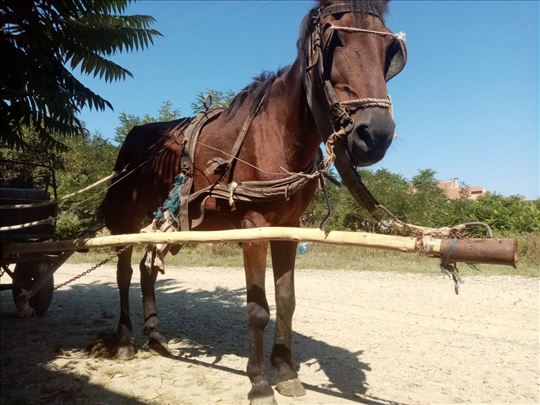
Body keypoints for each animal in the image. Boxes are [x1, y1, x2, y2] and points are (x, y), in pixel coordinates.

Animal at [99, 1, 408, 402]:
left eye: (389, 50)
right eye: (334, 43)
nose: (376, 135)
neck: (275, 132)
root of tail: (135, 136)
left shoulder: (288, 227)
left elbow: (287, 300)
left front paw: (286, 371)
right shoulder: (254, 227)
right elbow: (258, 308)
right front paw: (260, 382)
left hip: (169, 223)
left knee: (147, 269)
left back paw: (155, 336)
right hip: (126, 218)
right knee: (123, 273)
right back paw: (124, 340)